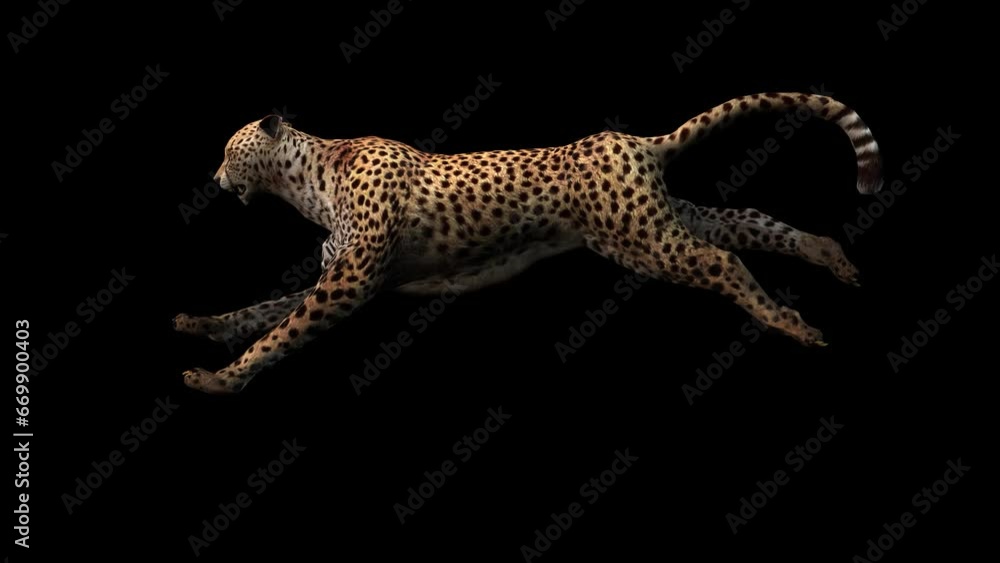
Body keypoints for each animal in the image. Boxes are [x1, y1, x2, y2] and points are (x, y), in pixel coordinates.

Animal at [174, 92, 881, 394]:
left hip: (644, 240)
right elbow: (260, 311)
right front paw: (204, 326)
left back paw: (791, 324)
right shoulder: (348, 276)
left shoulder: (350, 283)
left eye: (229, 150)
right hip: (653, 221)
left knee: (721, 257)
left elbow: (280, 331)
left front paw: (223, 379)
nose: (214, 178)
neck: (307, 180)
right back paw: (831, 256)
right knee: (746, 220)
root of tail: (627, 139)